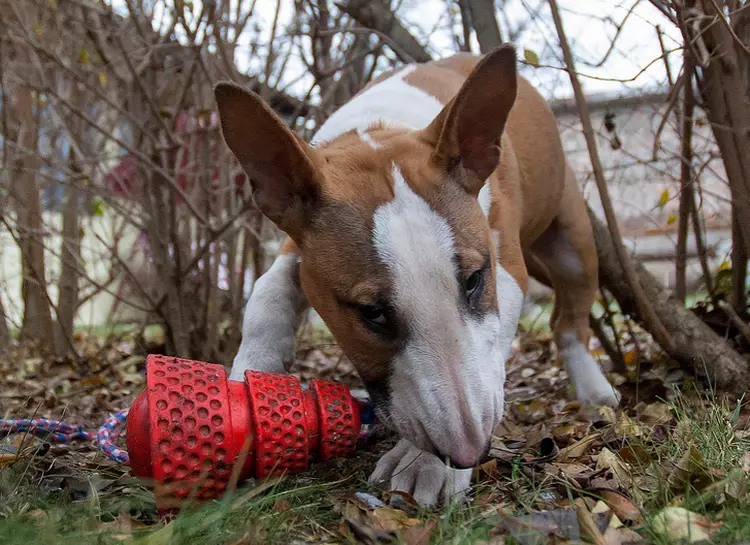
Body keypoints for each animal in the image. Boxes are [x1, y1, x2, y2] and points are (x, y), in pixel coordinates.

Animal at [213, 45, 624, 506]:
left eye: (473, 280)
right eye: (371, 312)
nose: (467, 452)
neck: (380, 131)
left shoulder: (505, 267)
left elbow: (488, 348)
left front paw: (423, 465)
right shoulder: (295, 242)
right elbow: (267, 293)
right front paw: (248, 385)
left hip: (573, 241)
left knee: (569, 321)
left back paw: (593, 390)